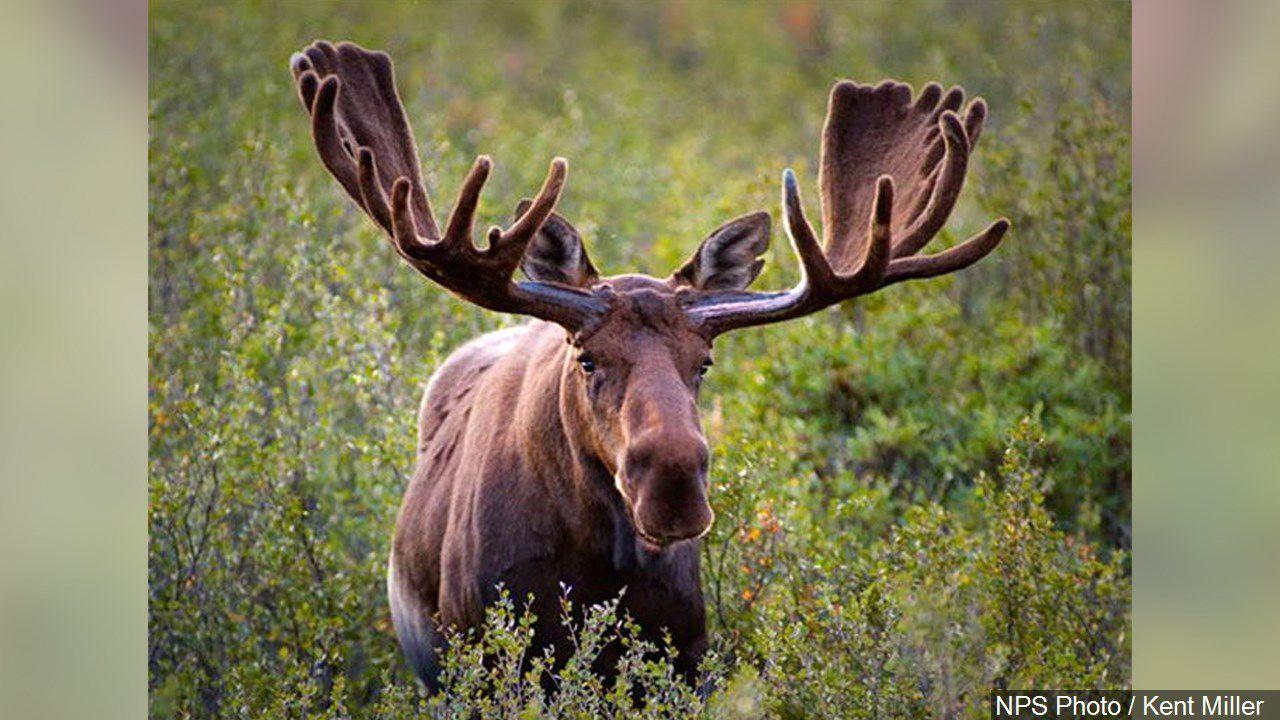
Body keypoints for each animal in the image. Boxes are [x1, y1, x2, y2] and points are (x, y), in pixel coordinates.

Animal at [289, 40, 1008, 691]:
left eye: (705, 361)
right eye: (586, 358)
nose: (672, 483)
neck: (591, 571)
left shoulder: (682, 660)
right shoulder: (482, 656)